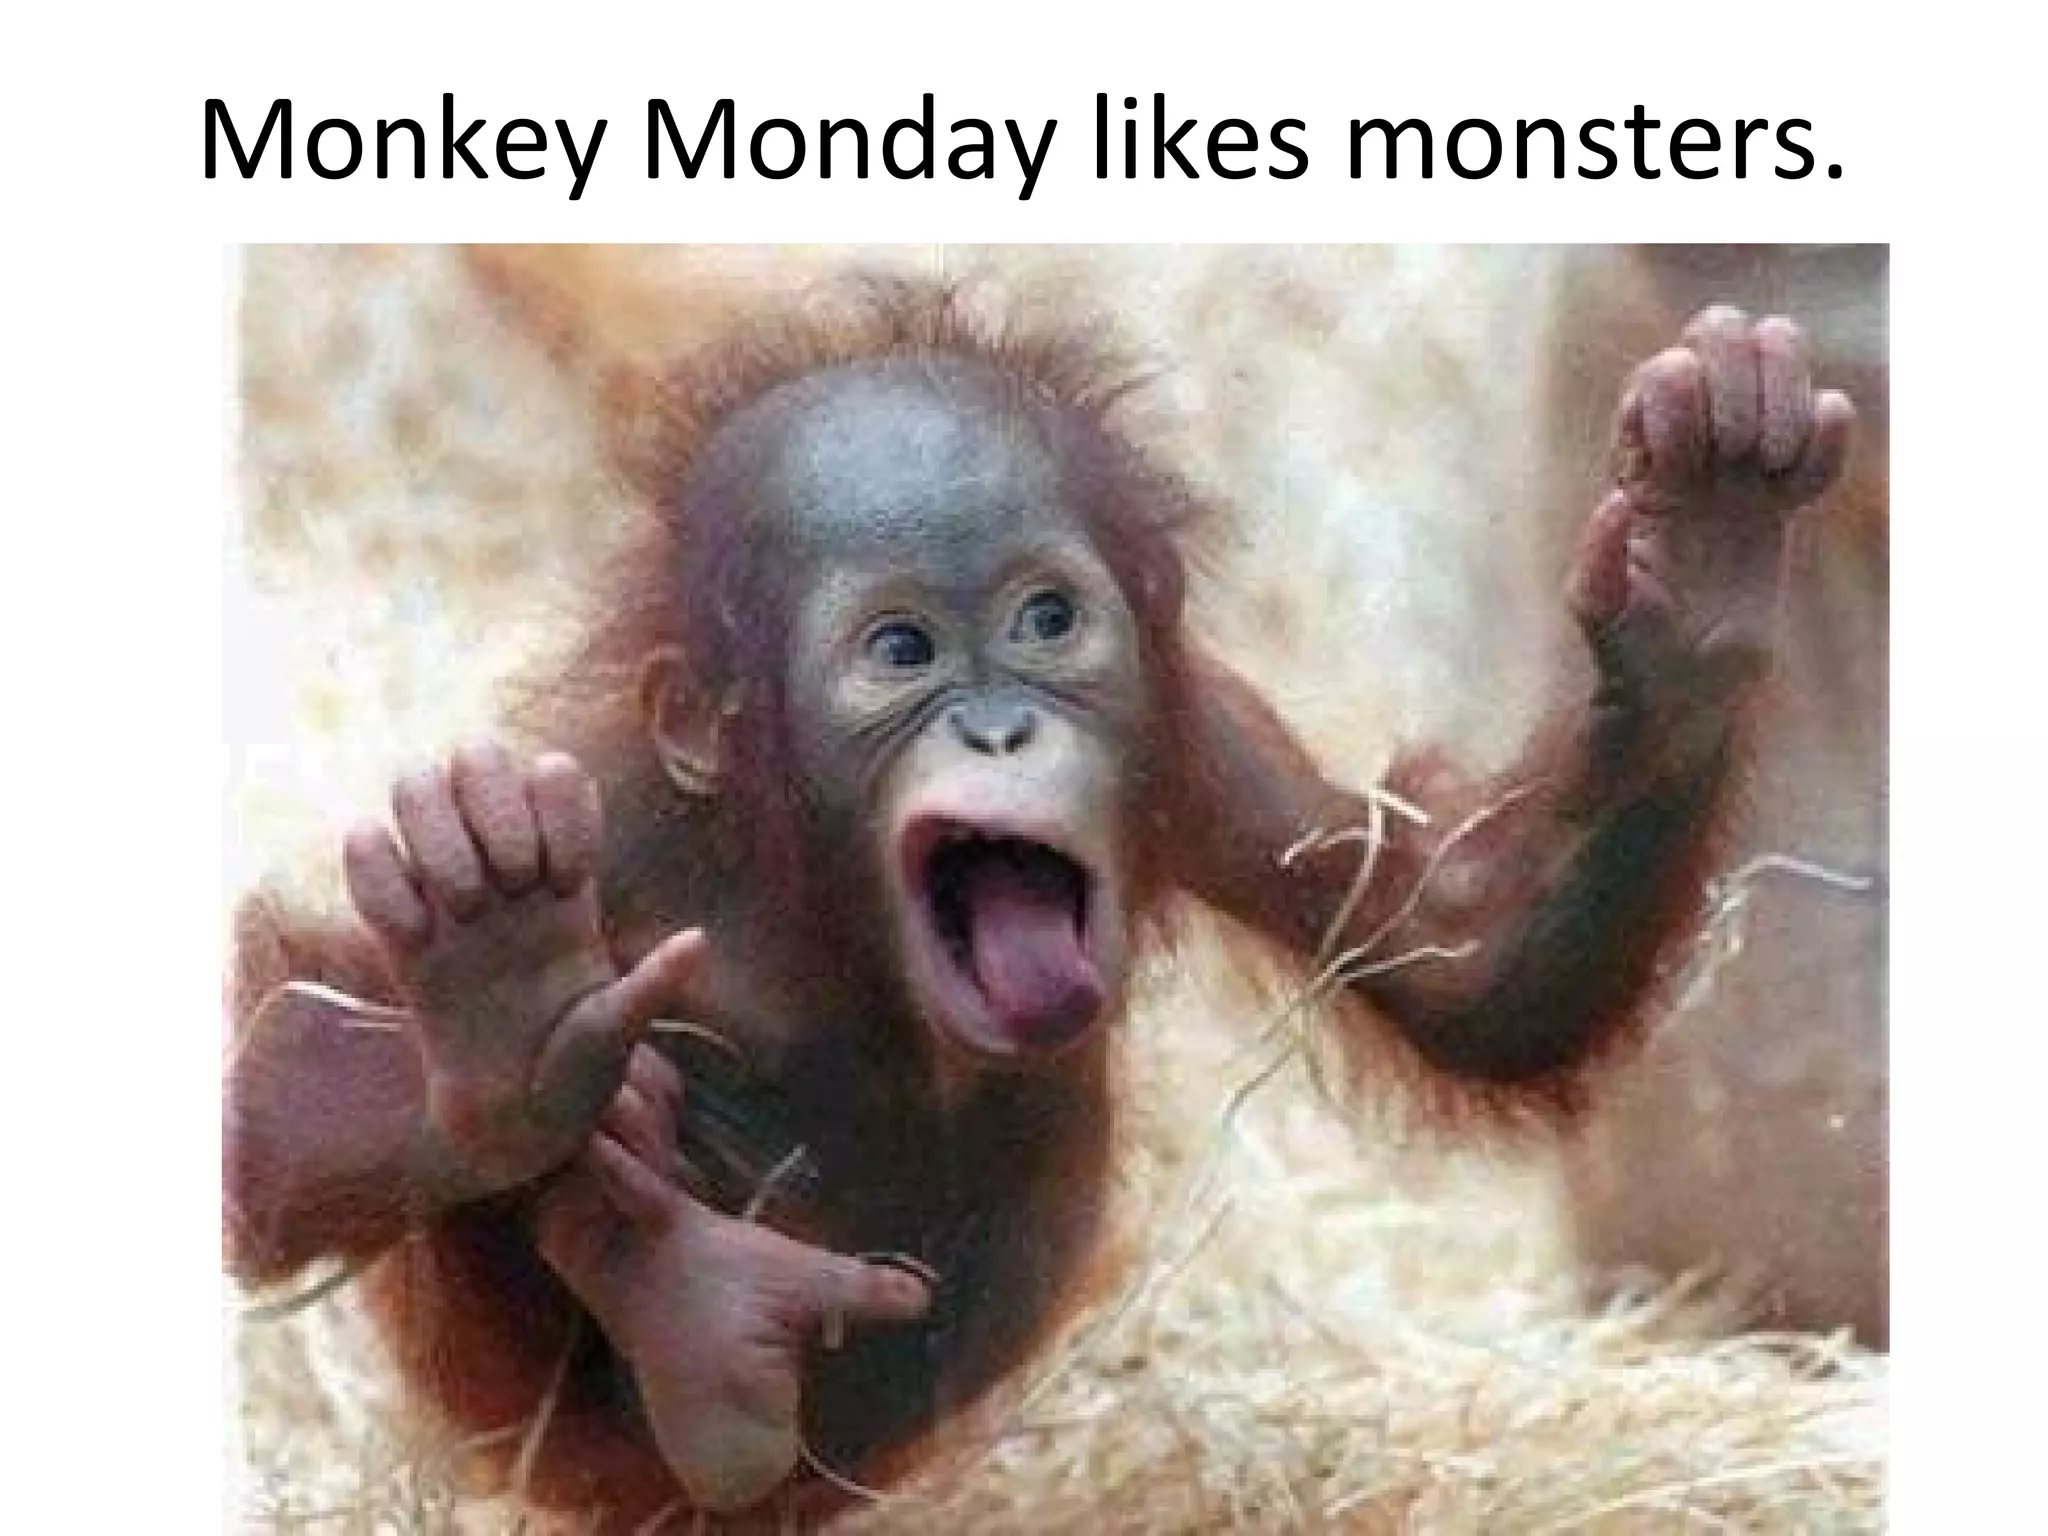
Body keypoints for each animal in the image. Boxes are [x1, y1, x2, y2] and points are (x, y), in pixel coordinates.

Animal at [225, 283, 1853, 1528]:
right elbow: (278, 1087)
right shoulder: (623, 823)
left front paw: (1693, 579)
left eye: (1045, 619)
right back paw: (695, 1312)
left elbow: (1455, 951)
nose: (1001, 727)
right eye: (899, 649)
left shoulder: (1201, 750)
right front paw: (492, 1025)